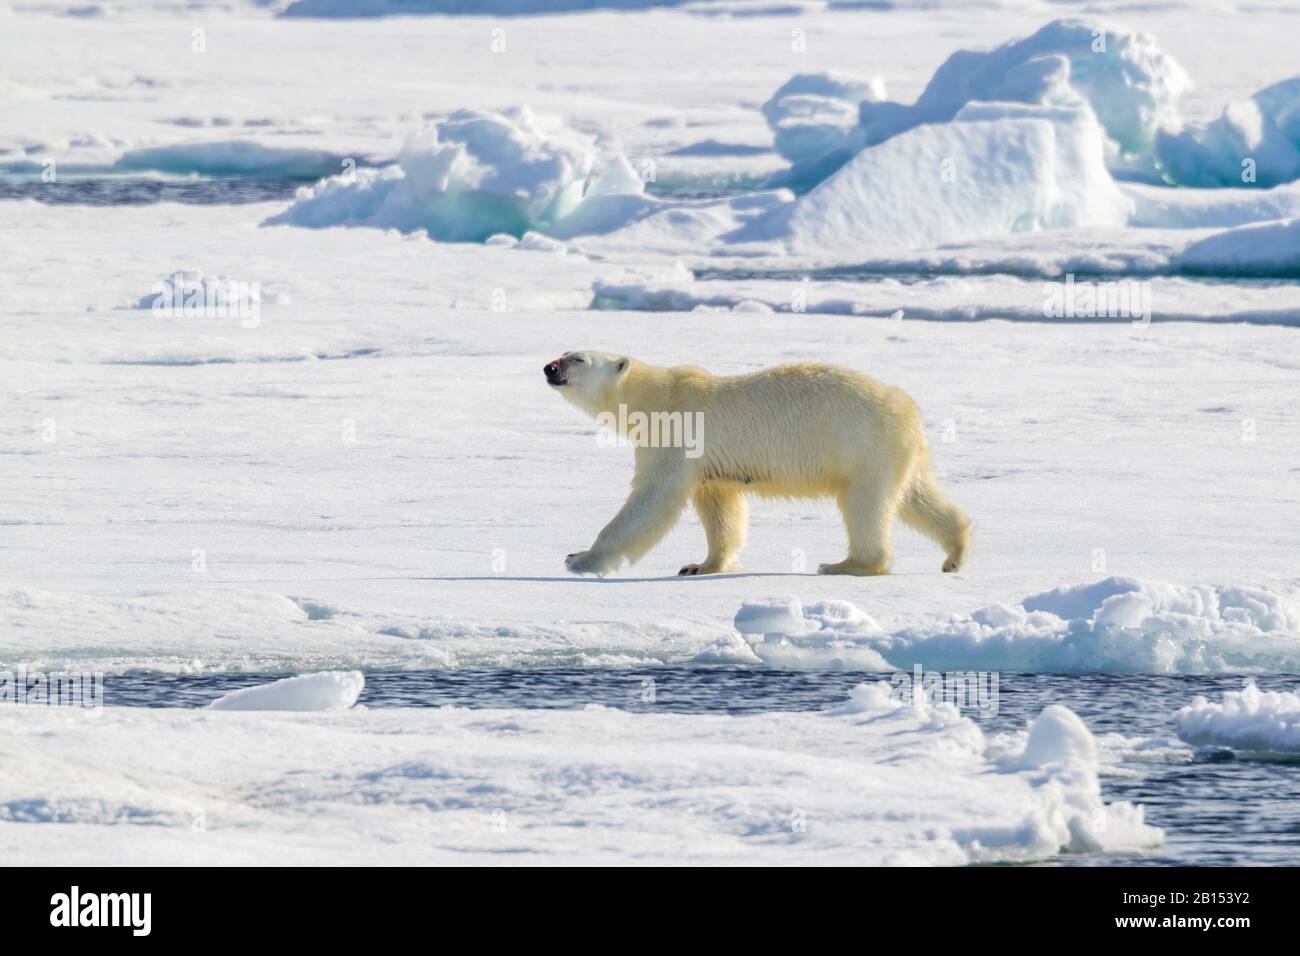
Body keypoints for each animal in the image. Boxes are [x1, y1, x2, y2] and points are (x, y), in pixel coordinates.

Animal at [544, 351, 970, 578]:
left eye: (577, 358)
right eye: (564, 352)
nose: (549, 367)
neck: (654, 398)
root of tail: (910, 410)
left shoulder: (675, 439)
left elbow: (651, 500)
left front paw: (579, 558)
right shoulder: (709, 468)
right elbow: (720, 508)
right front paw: (700, 565)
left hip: (863, 446)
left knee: (865, 504)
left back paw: (845, 564)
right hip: (897, 452)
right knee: (915, 497)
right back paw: (955, 551)